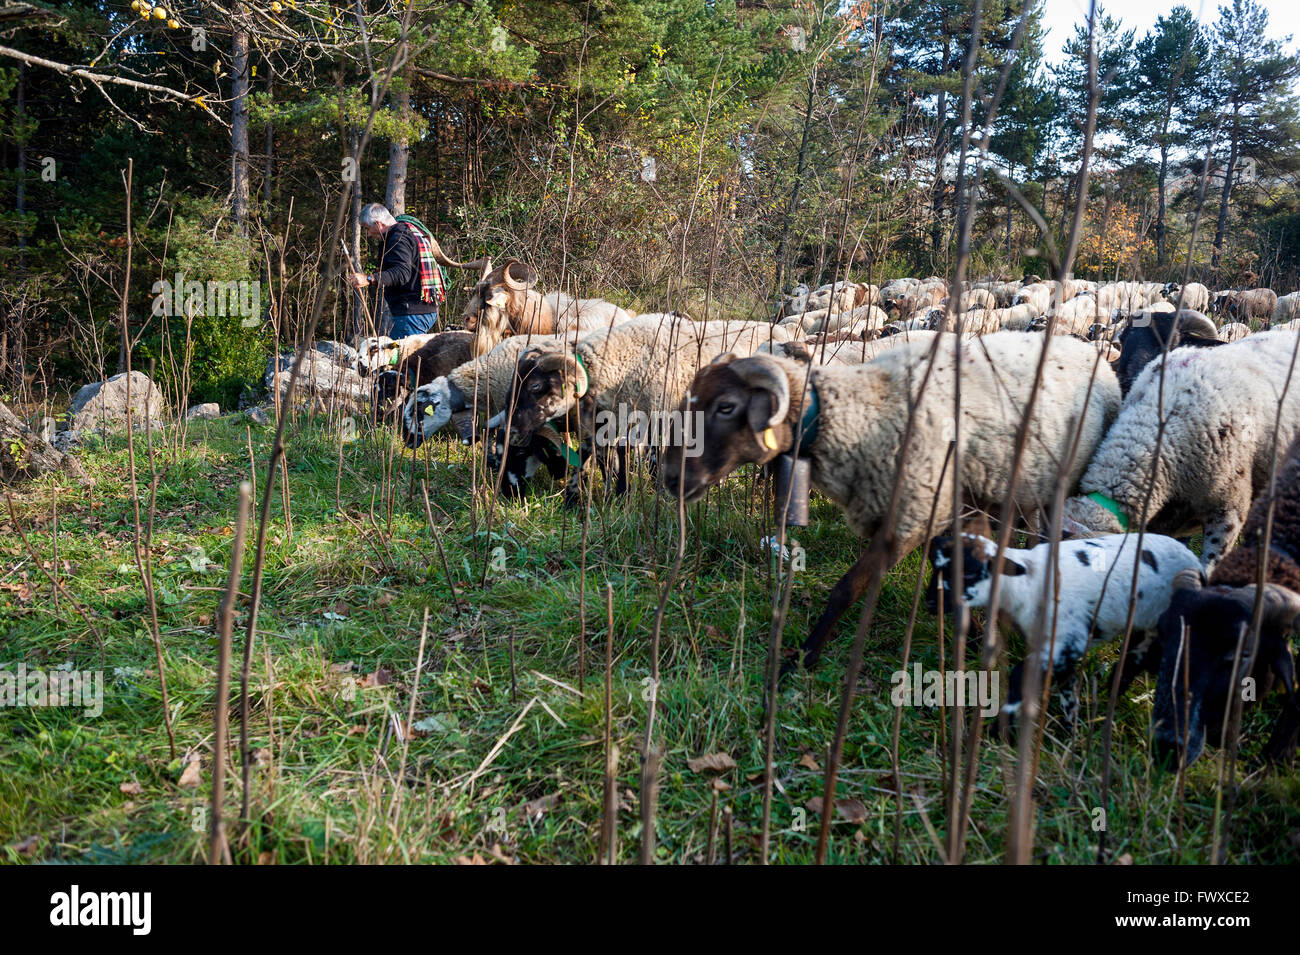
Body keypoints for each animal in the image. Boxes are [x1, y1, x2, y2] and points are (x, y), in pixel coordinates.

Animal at [660, 331, 1122, 672]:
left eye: (726, 406)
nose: (670, 477)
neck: (864, 413)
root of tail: (1092, 351)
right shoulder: (934, 508)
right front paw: (971, 632)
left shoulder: (906, 519)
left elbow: (845, 590)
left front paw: (803, 657)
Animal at [925, 530, 1201, 725]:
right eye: (934, 567)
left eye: (970, 573)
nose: (931, 603)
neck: (1026, 582)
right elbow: (1067, 690)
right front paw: (1071, 731)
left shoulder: (1068, 641)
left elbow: (1020, 675)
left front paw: (1002, 727)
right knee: (1131, 662)